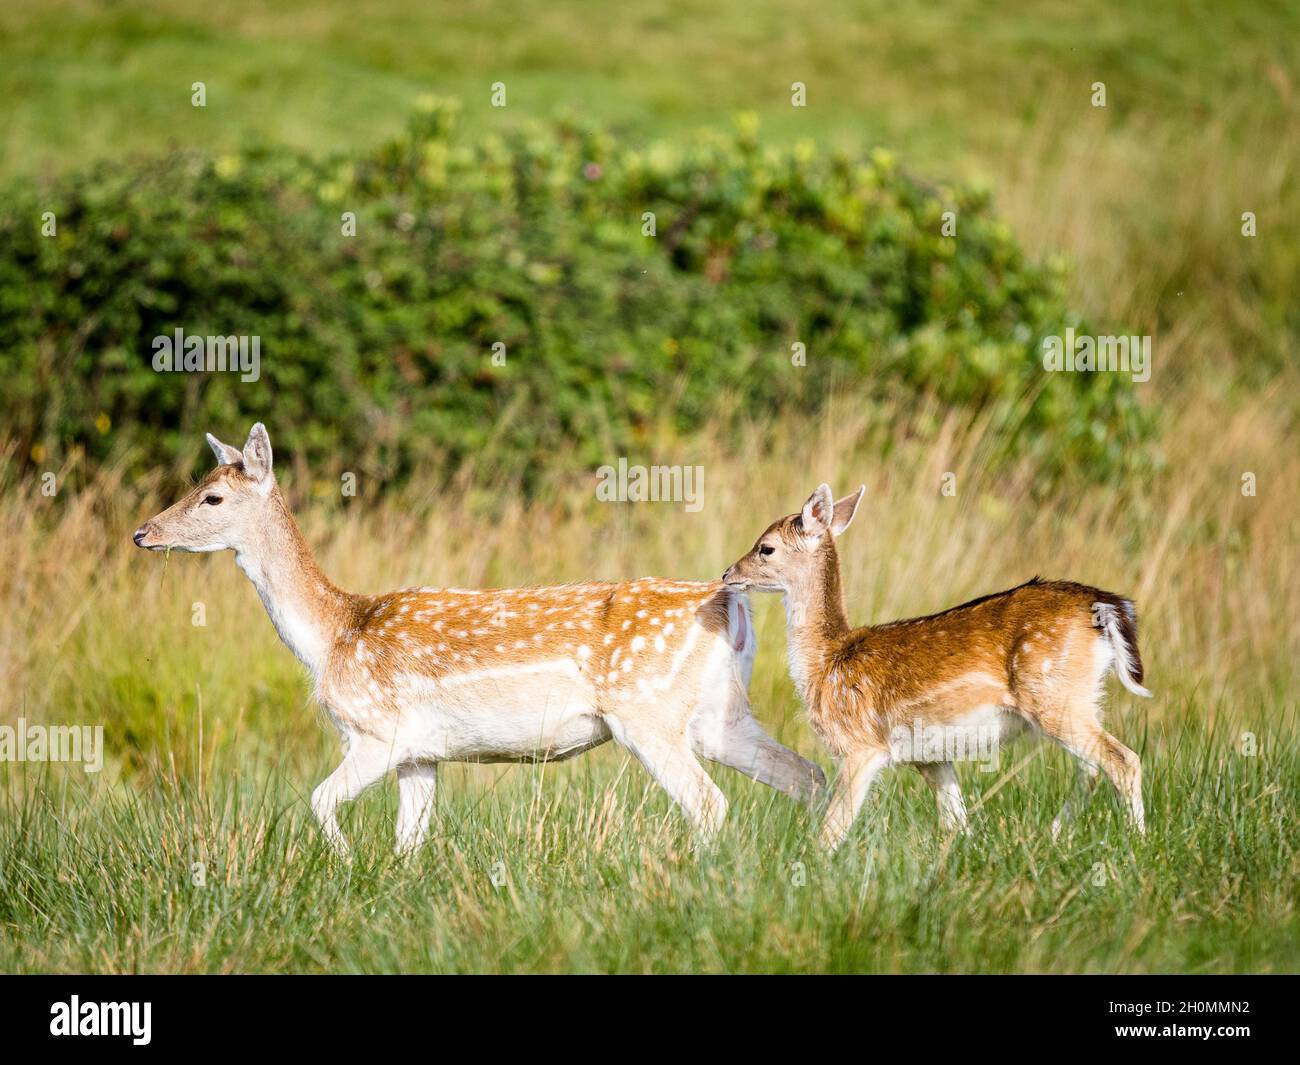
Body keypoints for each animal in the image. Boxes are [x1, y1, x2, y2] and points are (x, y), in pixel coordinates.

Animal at [132, 425, 825, 857]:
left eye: (211, 495)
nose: (143, 533)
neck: (332, 635)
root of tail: (732, 604)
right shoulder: (419, 754)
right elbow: (408, 843)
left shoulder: (377, 730)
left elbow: (318, 799)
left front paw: (346, 862)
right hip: (719, 714)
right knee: (809, 773)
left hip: (647, 713)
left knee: (711, 802)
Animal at [721, 483, 1151, 850]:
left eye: (766, 548)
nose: (728, 573)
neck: (827, 661)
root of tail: (1104, 605)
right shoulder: (930, 757)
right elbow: (956, 821)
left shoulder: (860, 744)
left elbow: (832, 828)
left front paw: (813, 863)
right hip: (1079, 696)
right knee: (1091, 767)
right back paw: (1055, 834)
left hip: (1054, 692)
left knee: (1122, 760)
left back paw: (1136, 842)